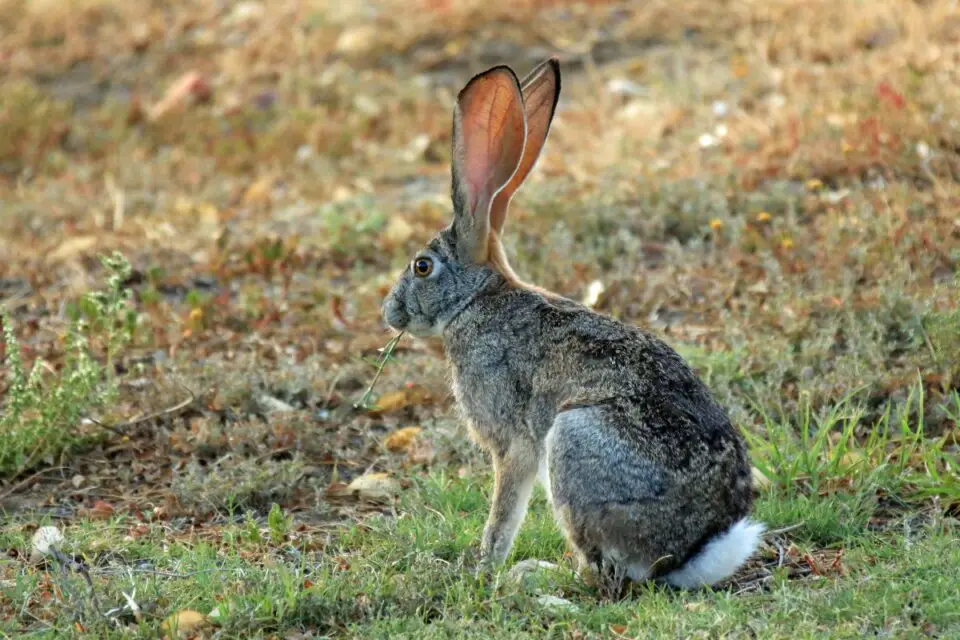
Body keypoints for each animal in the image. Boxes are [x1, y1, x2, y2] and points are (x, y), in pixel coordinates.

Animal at [381, 58, 764, 593]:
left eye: (422, 266)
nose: (389, 312)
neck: (477, 299)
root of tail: (692, 552)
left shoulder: (514, 442)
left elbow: (503, 513)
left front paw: (483, 569)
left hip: (572, 439)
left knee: (605, 575)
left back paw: (534, 576)